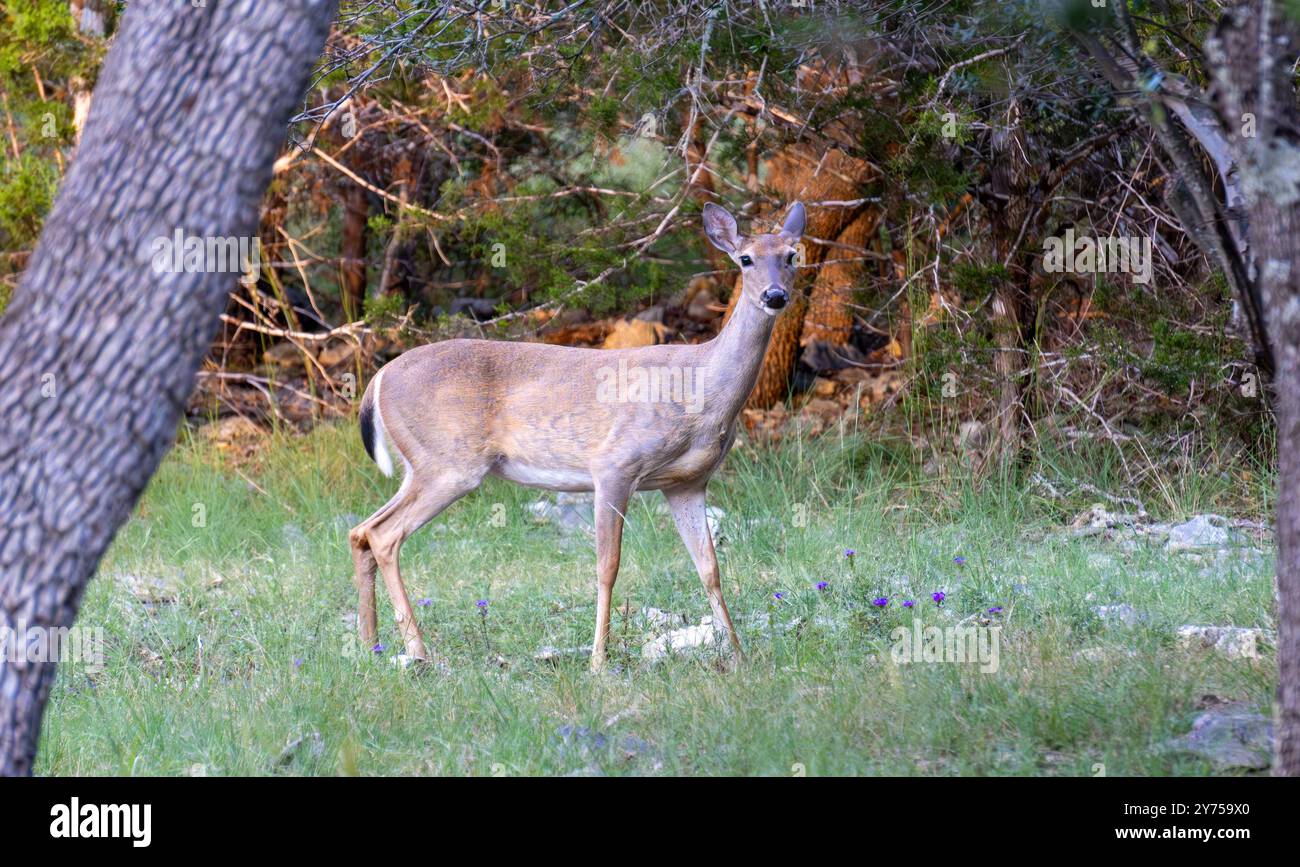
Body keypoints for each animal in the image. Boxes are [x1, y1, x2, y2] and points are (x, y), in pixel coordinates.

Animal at [348, 201, 806, 671]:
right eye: (745, 258)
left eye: (793, 255)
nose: (775, 296)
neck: (701, 390)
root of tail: (378, 379)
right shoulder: (614, 465)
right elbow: (608, 566)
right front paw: (599, 660)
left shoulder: (687, 482)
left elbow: (709, 567)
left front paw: (738, 653)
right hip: (448, 463)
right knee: (384, 534)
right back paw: (418, 651)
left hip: (421, 465)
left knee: (361, 531)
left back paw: (370, 643)